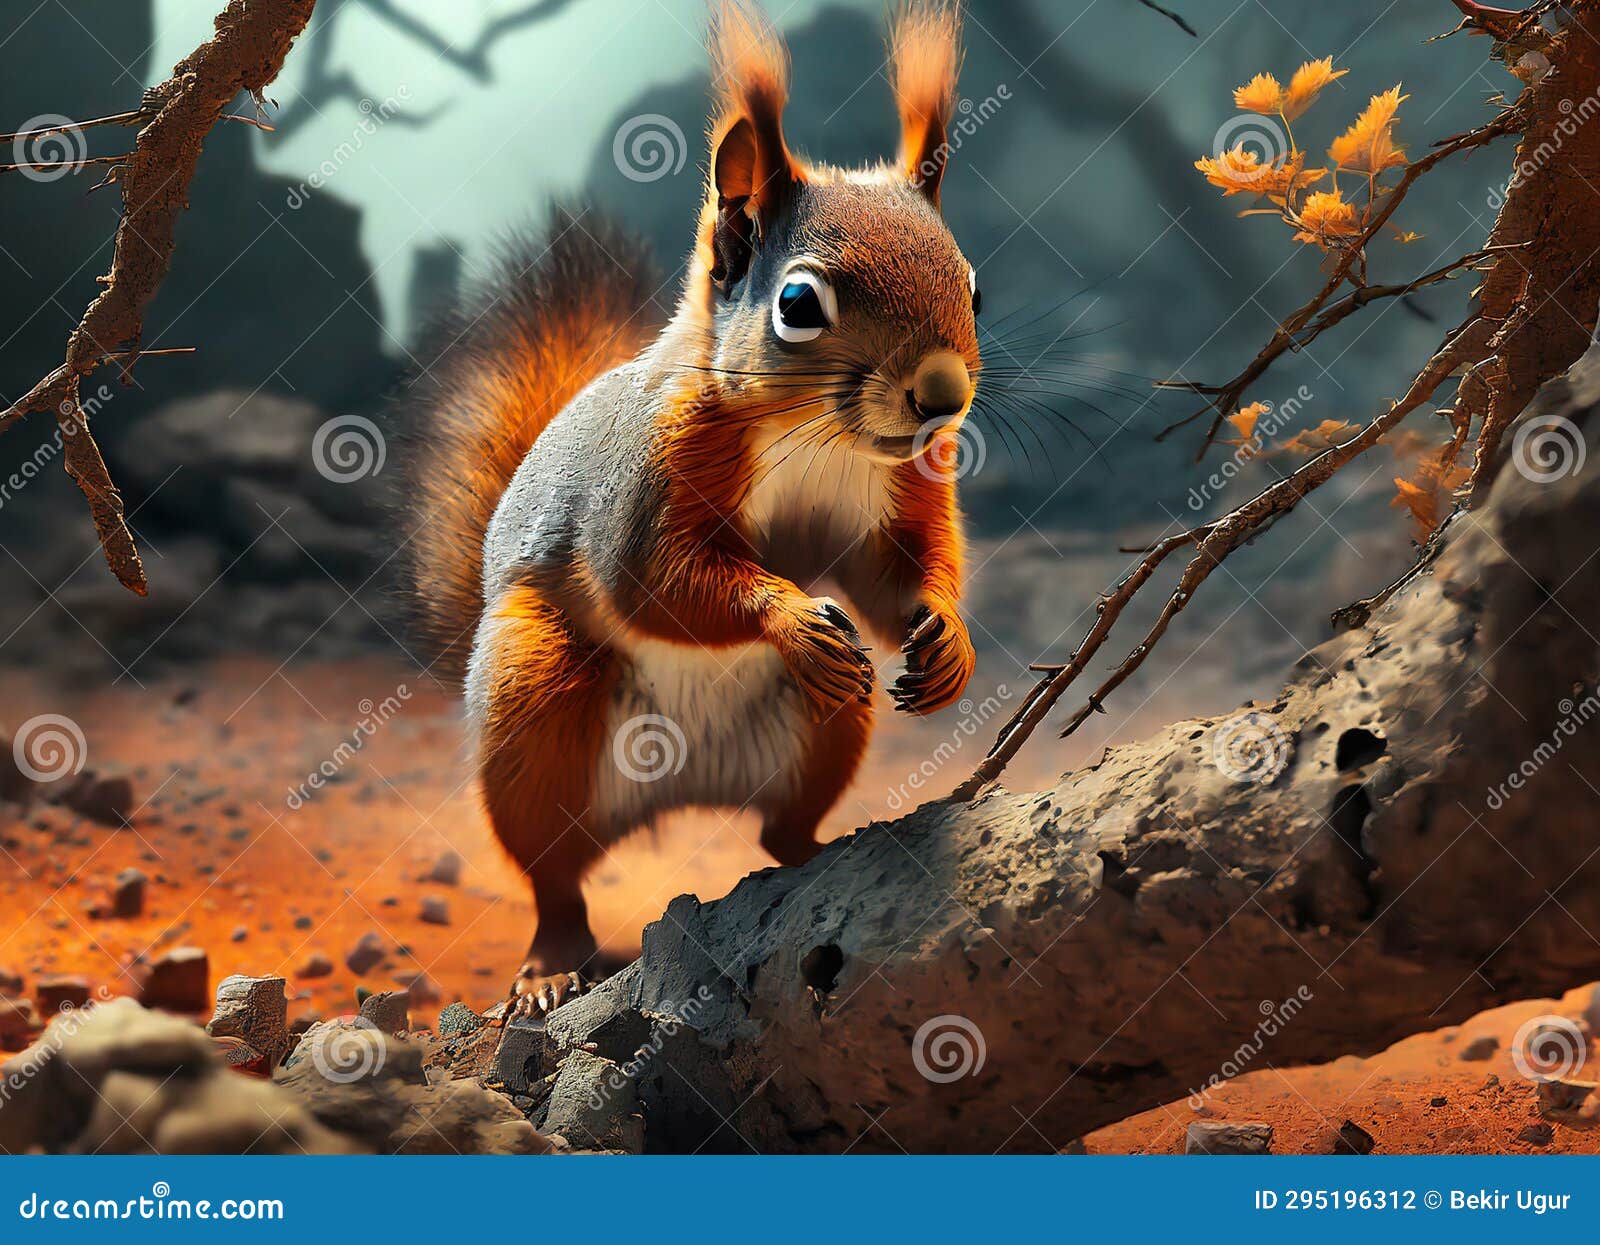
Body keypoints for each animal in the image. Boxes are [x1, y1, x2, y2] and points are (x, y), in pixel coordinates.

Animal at [402, 0, 980, 1016]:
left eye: (975, 286)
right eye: (798, 302)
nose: (944, 397)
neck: (816, 437)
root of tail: (678, 785)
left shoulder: (899, 490)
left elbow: (893, 577)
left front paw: (947, 638)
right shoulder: (646, 484)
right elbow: (656, 580)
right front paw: (787, 616)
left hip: (828, 729)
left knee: (781, 828)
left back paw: (822, 847)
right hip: (534, 705)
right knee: (553, 873)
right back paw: (551, 965)